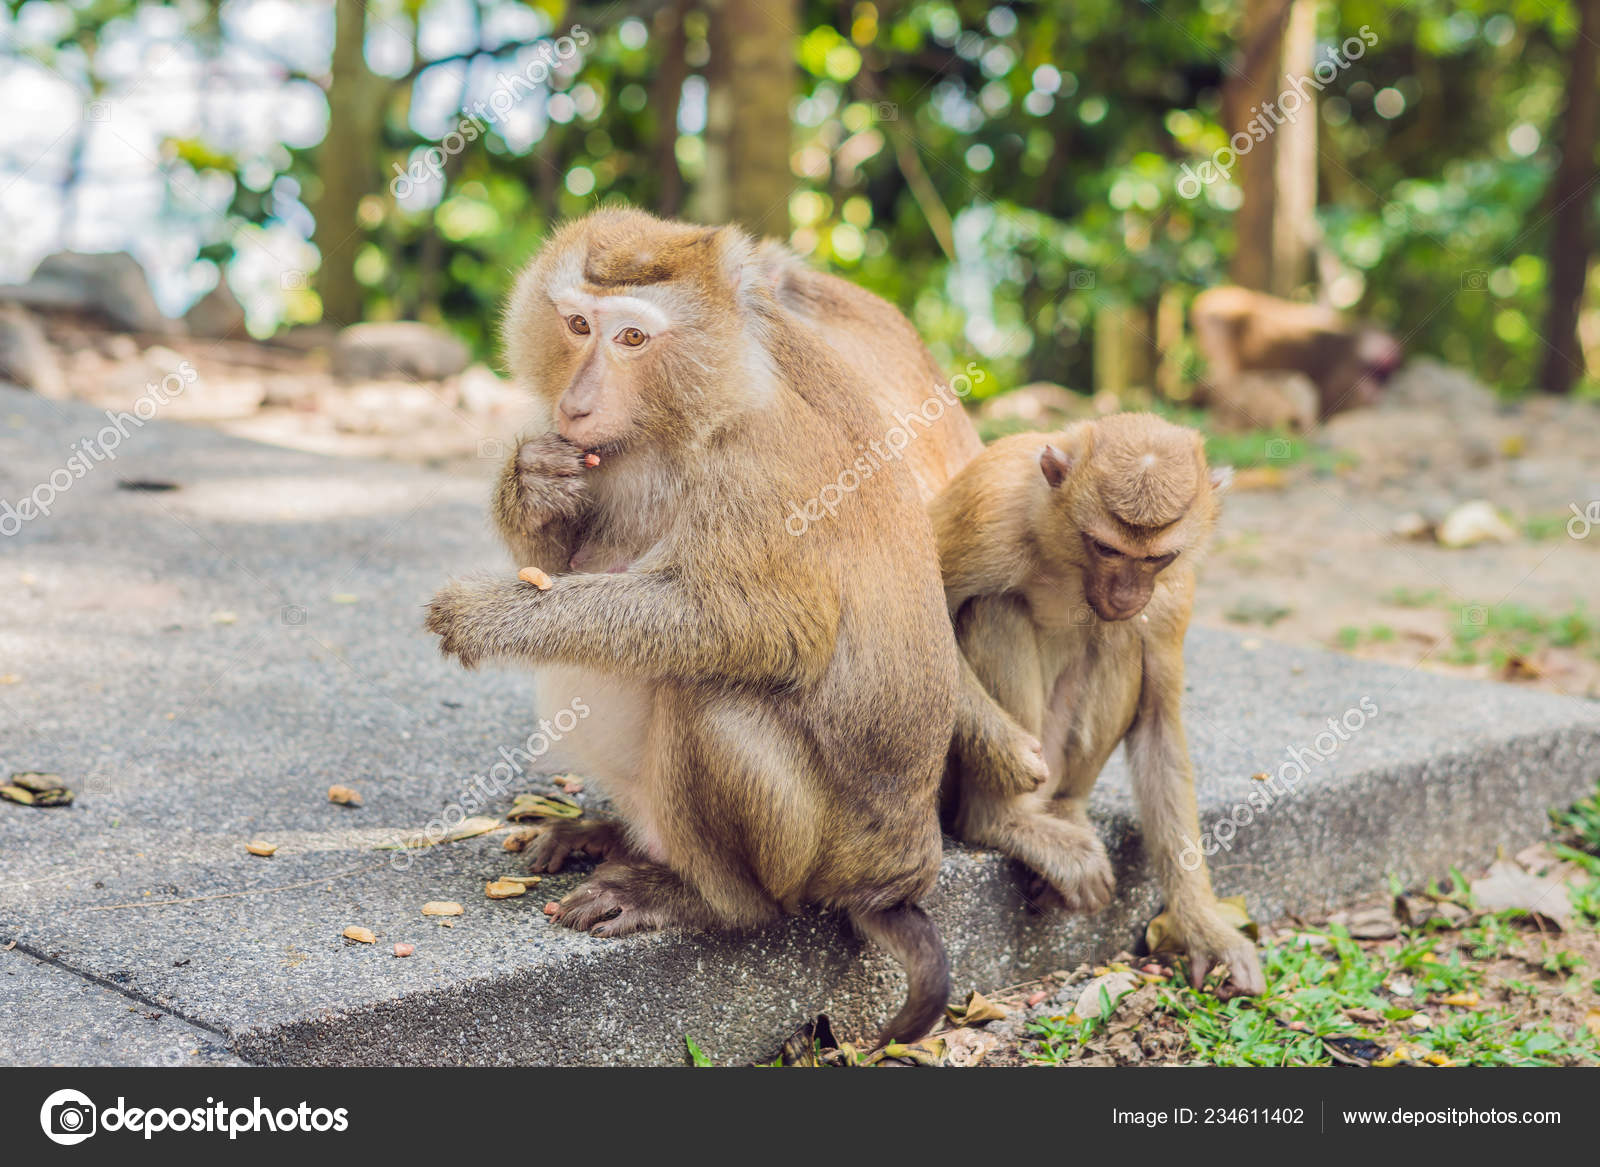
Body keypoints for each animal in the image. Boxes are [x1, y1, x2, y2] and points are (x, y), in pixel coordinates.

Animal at [424, 208, 960, 1045]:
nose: (576, 405)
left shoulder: (762, 463)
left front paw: (491, 616)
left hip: (814, 855)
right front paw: (530, 480)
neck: (682, 416)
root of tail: (893, 878)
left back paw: (700, 898)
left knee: (708, 695)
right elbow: (563, 553)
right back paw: (612, 834)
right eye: (577, 325)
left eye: (632, 338)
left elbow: (757, 626)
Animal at [931, 412, 1266, 997]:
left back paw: (1065, 807)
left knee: (1121, 639)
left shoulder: (1173, 590)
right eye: (1106, 548)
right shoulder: (988, 515)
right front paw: (1010, 753)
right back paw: (1002, 820)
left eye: (1157, 557)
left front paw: (1203, 926)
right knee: (995, 608)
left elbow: (1158, 727)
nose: (1127, 594)